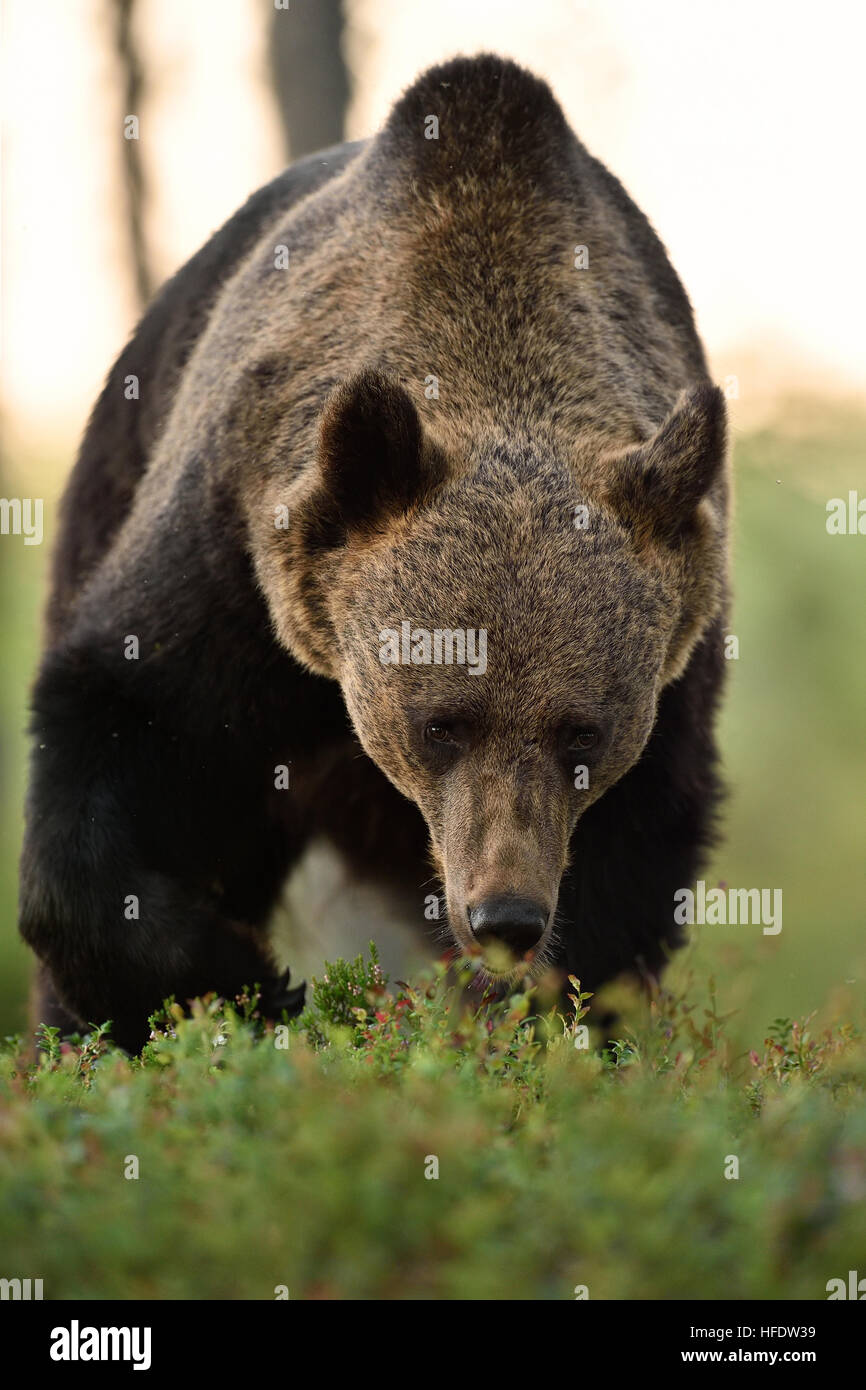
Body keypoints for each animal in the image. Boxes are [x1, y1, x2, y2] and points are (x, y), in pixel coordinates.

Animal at [20, 54, 729, 1053]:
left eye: (581, 734)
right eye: (443, 724)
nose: (505, 915)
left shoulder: (680, 660)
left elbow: (634, 862)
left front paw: (527, 1016)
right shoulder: (232, 564)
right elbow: (121, 723)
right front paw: (242, 981)